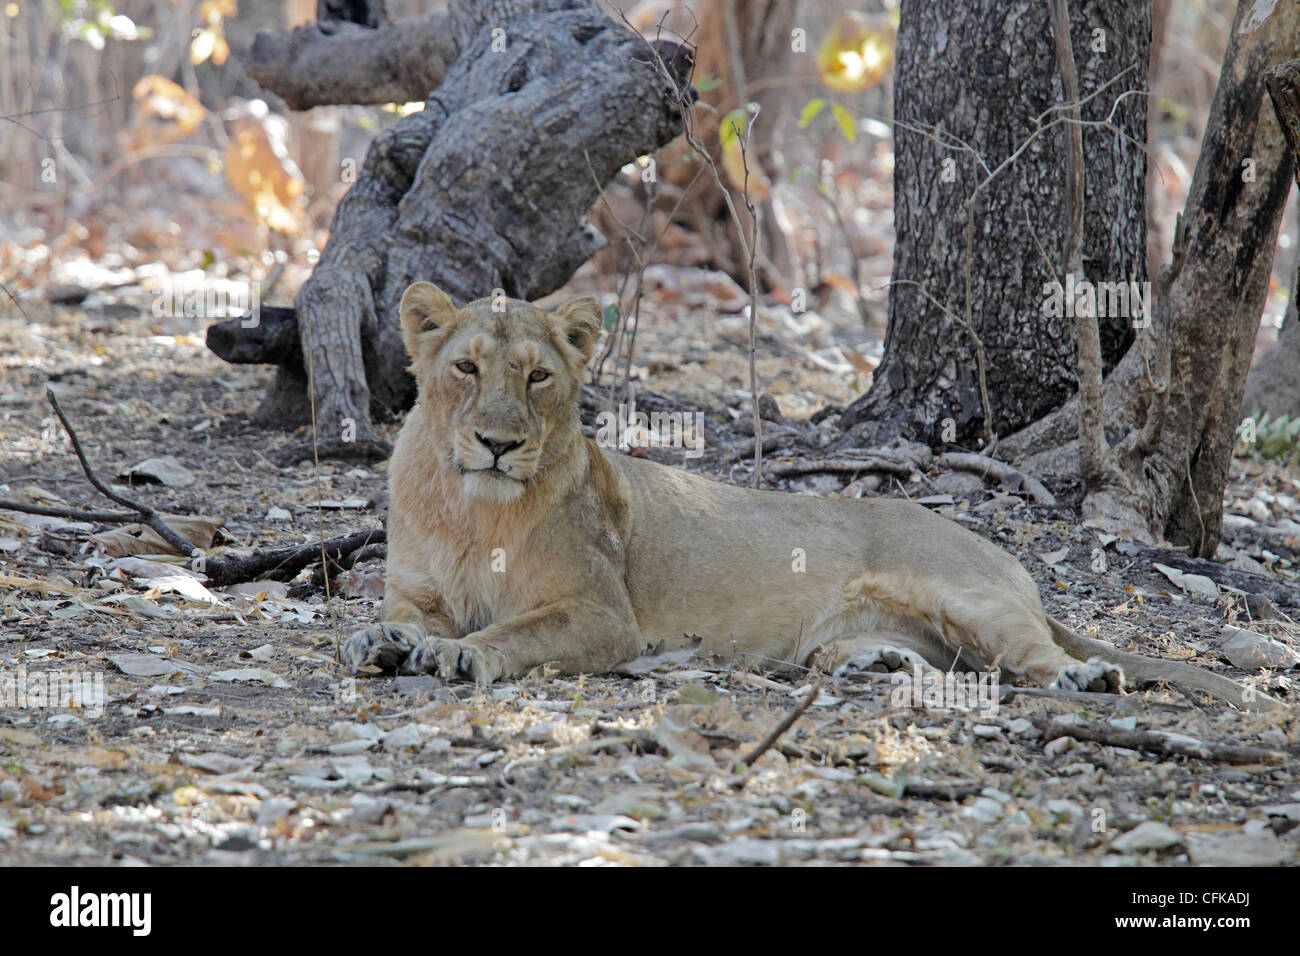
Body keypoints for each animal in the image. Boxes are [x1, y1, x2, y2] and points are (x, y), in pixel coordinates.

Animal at [342, 281, 1275, 711]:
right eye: (467, 368)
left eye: (537, 376)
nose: (498, 442)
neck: (474, 507)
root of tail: (1005, 558)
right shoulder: (419, 588)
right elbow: (406, 618)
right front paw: (382, 642)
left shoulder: (604, 617)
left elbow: (514, 631)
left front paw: (462, 654)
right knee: (941, 661)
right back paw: (873, 662)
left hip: (971, 598)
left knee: (1043, 658)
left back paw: (1085, 679)